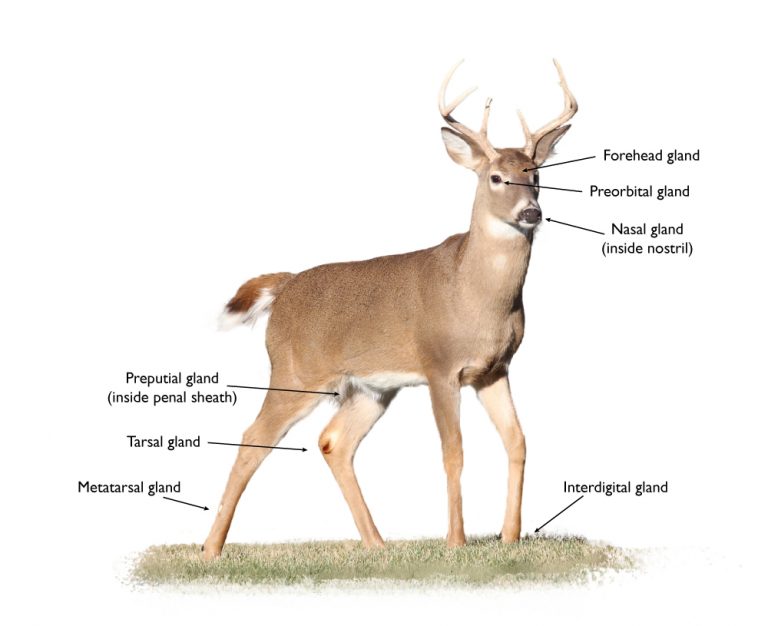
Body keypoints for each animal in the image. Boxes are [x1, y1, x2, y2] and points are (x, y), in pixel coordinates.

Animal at [202, 60, 577, 560]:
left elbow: (517, 441)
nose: (531, 213)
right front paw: (456, 542)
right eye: (496, 177)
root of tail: (284, 288)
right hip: (294, 373)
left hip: (369, 388)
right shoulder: (440, 366)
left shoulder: (495, 369)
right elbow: (453, 451)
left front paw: (510, 536)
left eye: (536, 176)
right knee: (251, 440)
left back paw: (377, 543)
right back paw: (210, 549)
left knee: (333, 442)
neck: (477, 296)